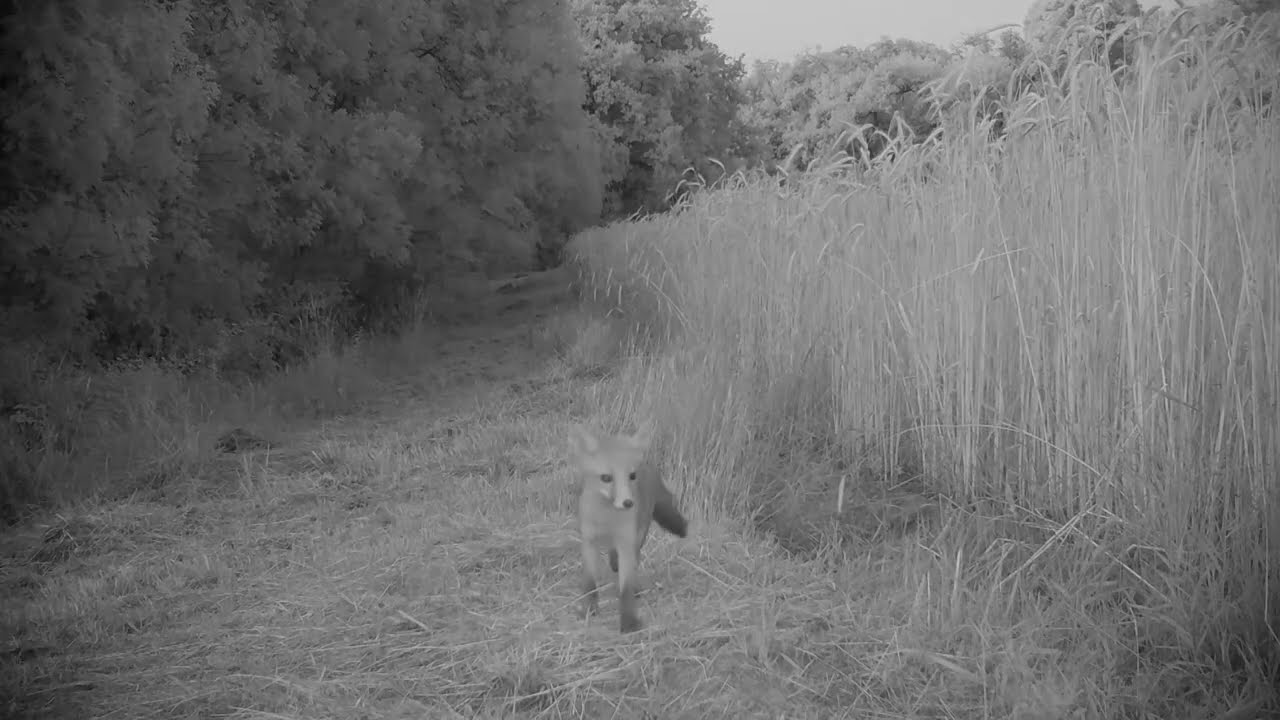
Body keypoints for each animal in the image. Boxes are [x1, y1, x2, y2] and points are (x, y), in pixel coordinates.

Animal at [569, 424, 688, 633]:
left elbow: (625, 589)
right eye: (606, 478)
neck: (607, 520)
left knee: (630, 562)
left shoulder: (626, 542)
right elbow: (590, 584)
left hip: (639, 534)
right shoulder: (589, 541)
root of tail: (648, 464)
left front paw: (628, 622)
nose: (627, 503)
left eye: (631, 476)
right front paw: (589, 610)